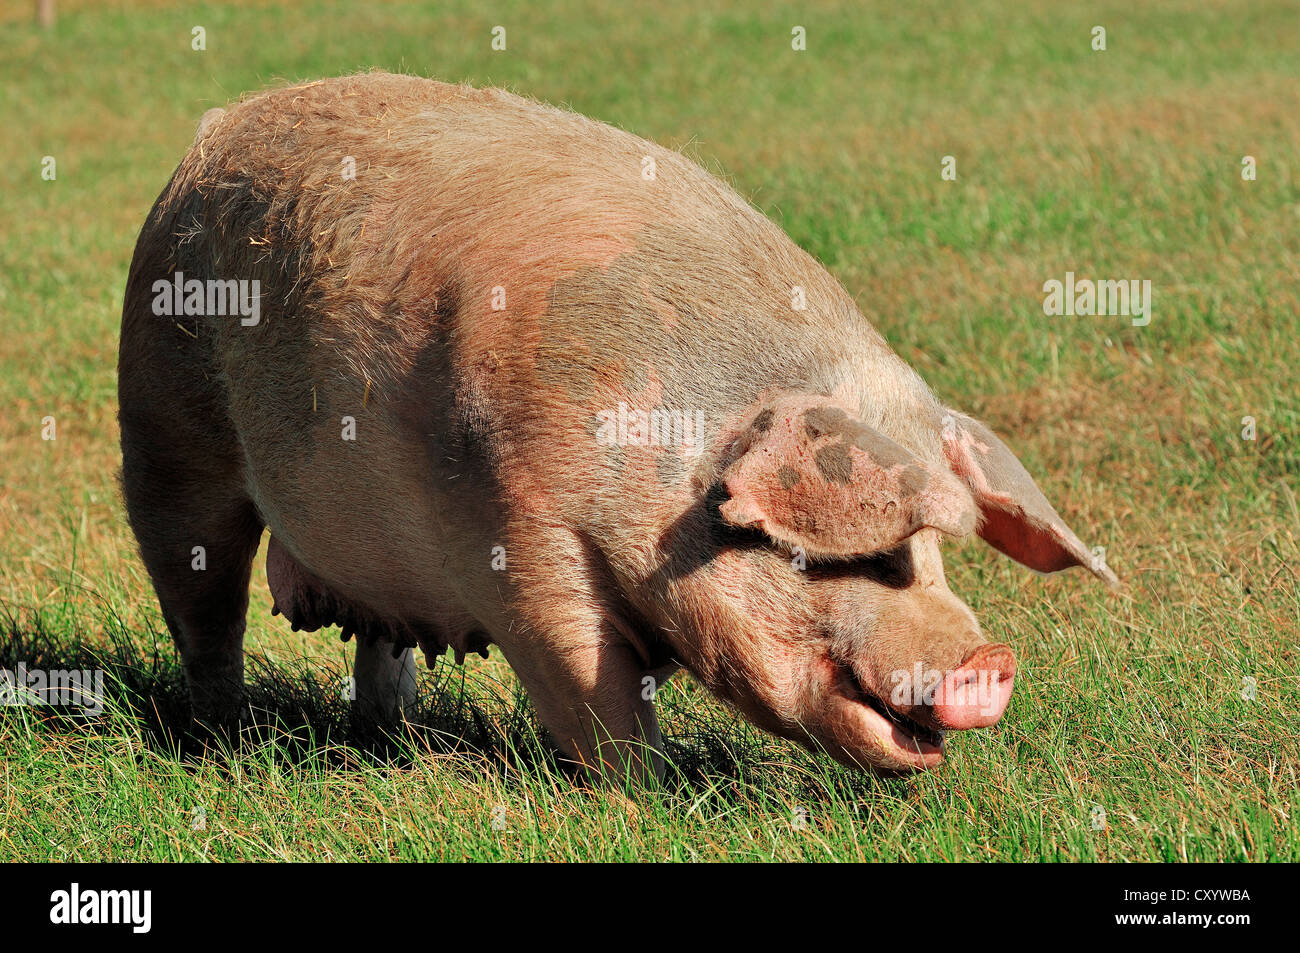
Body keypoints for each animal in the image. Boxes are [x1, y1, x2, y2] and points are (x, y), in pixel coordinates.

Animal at [117, 72, 1116, 782]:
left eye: (938, 559)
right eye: (840, 558)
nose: (989, 656)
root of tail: (214, 130)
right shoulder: (520, 529)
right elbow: (590, 678)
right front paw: (652, 794)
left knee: (378, 637)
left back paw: (389, 740)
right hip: (163, 426)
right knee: (205, 602)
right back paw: (222, 745)